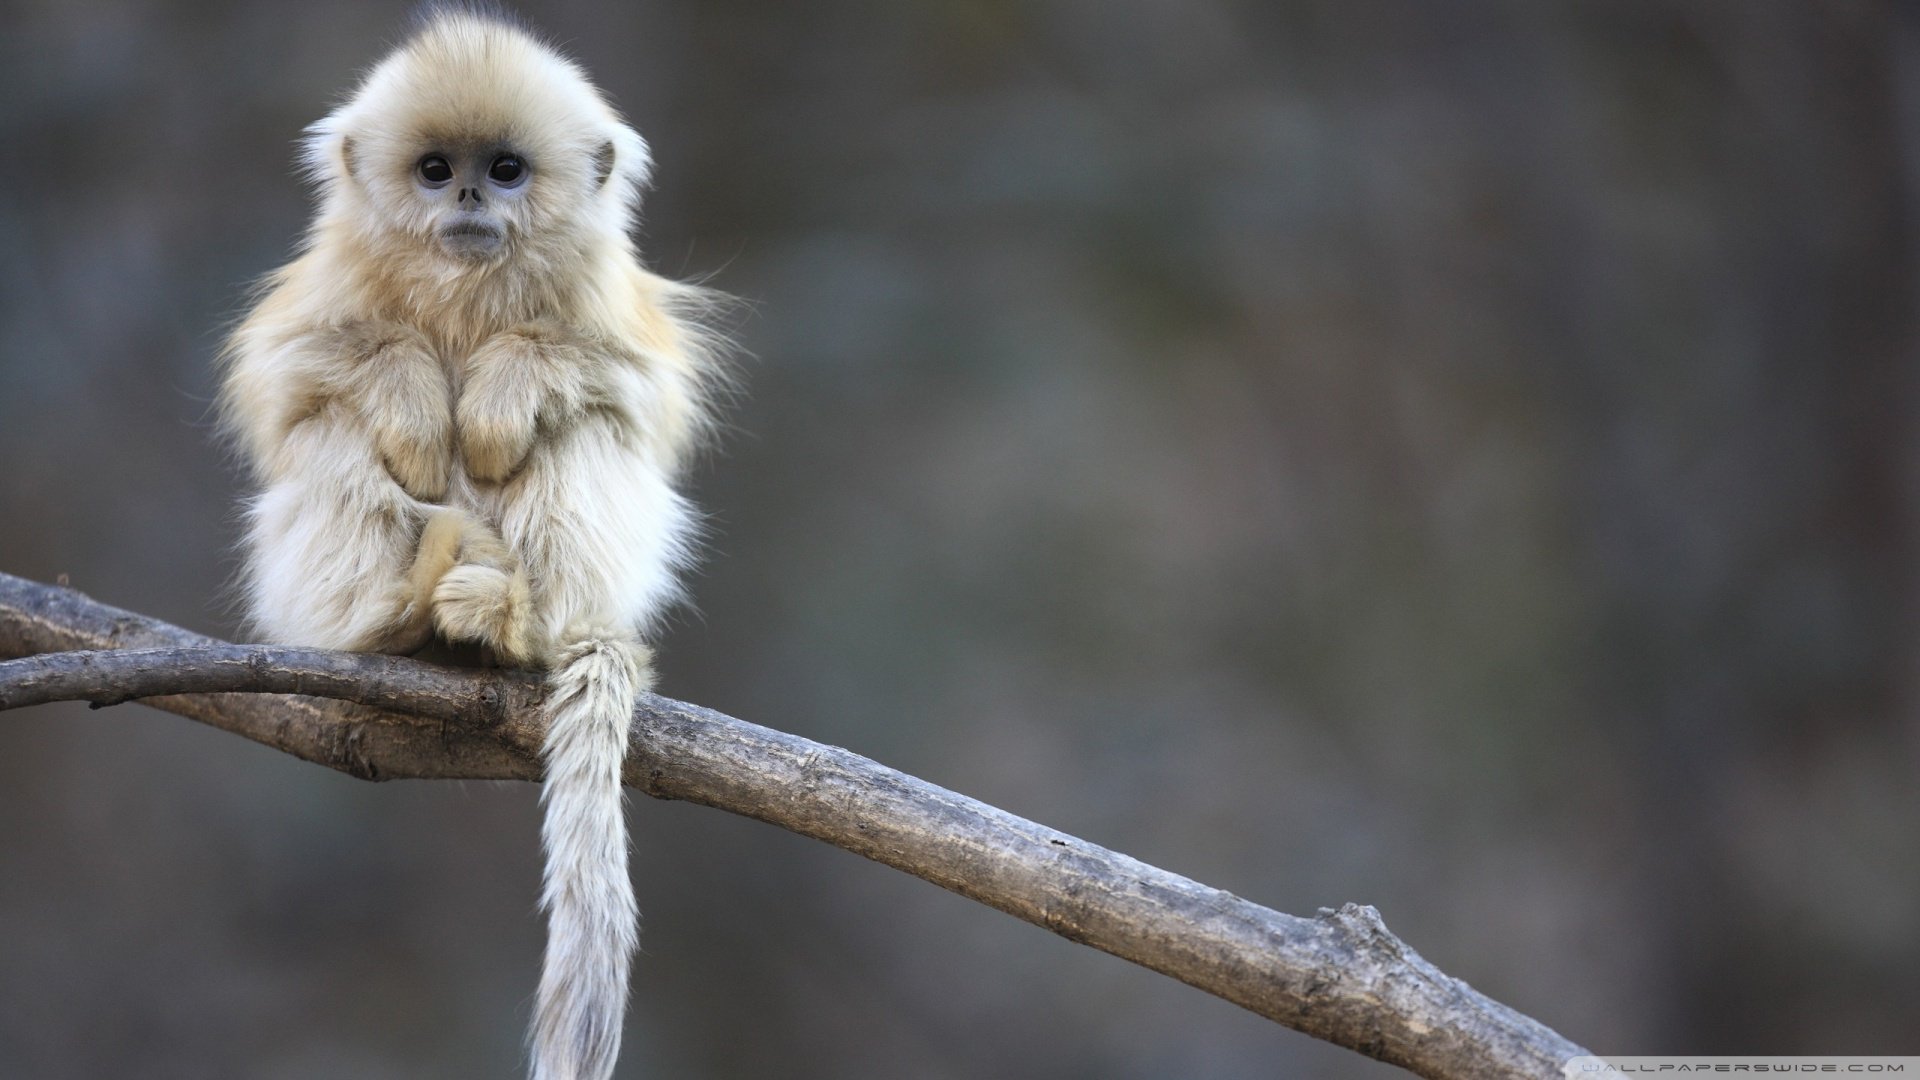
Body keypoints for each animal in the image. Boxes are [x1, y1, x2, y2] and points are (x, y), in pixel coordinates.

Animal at [217, 8, 727, 1079]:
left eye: (504, 169)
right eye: (432, 169)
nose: (464, 197)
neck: (464, 283)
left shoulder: (610, 309)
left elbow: (629, 389)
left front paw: (497, 396)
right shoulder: (321, 293)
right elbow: (294, 378)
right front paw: (416, 401)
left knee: (584, 428)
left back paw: (510, 622)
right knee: (334, 431)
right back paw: (393, 619)